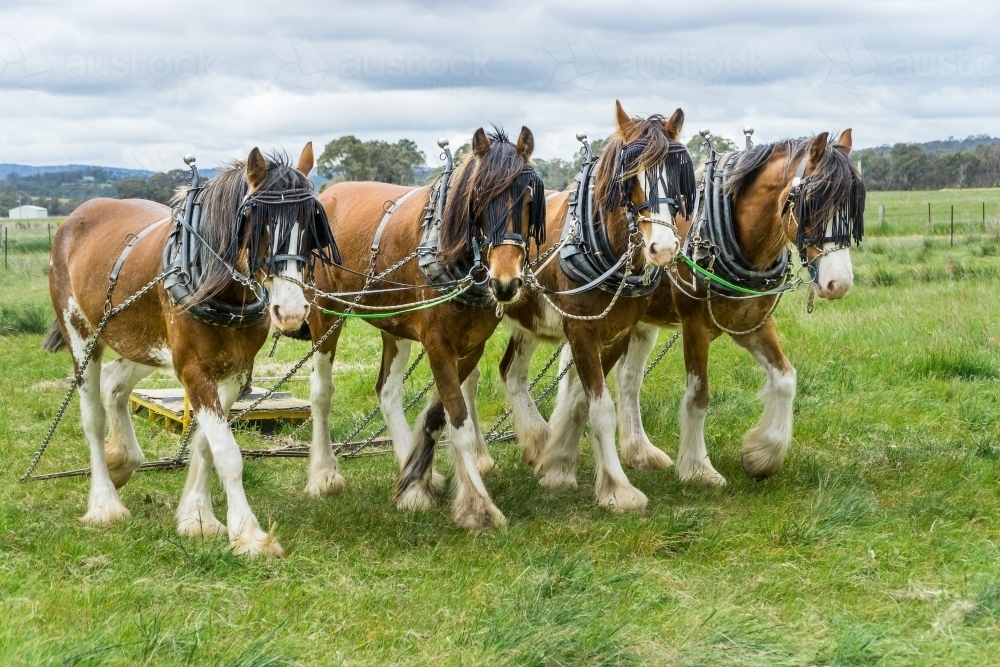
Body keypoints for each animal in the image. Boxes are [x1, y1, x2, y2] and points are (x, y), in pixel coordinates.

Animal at [43, 146, 332, 560]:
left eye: (310, 227)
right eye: (259, 226)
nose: (291, 311)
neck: (217, 281)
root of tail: (76, 217)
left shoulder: (234, 373)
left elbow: (206, 444)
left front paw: (197, 517)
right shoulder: (194, 369)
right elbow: (227, 452)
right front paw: (248, 533)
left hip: (148, 344)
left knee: (115, 383)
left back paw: (123, 460)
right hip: (82, 335)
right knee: (92, 416)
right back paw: (104, 502)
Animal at [302, 125, 544, 532]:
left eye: (527, 201)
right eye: (479, 199)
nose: (505, 282)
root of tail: (326, 195)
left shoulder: (471, 346)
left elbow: (438, 415)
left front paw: (416, 482)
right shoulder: (437, 344)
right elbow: (459, 423)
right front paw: (479, 507)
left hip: (394, 324)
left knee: (387, 391)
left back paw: (408, 468)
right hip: (325, 312)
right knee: (321, 391)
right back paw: (323, 475)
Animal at [406, 102, 696, 516]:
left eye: (676, 176)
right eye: (629, 177)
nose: (664, 247)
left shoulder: (616, 334)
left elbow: (581, 400)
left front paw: (558, 463)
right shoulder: (581, 331)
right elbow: (600, 409)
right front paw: (618, 489)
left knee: (508, 373)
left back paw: (533, 440)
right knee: (470, 384)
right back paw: (482, 456)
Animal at [608, 130, 860, 482]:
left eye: (853, 208)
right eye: (812, 203)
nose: (840, 283)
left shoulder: (751, 323)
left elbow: (786, 378)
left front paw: (762, 454)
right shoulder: (695, 326)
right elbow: (698, 396)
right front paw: (698, 468)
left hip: (640, 324)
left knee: (628, 377)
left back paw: (639, 451)